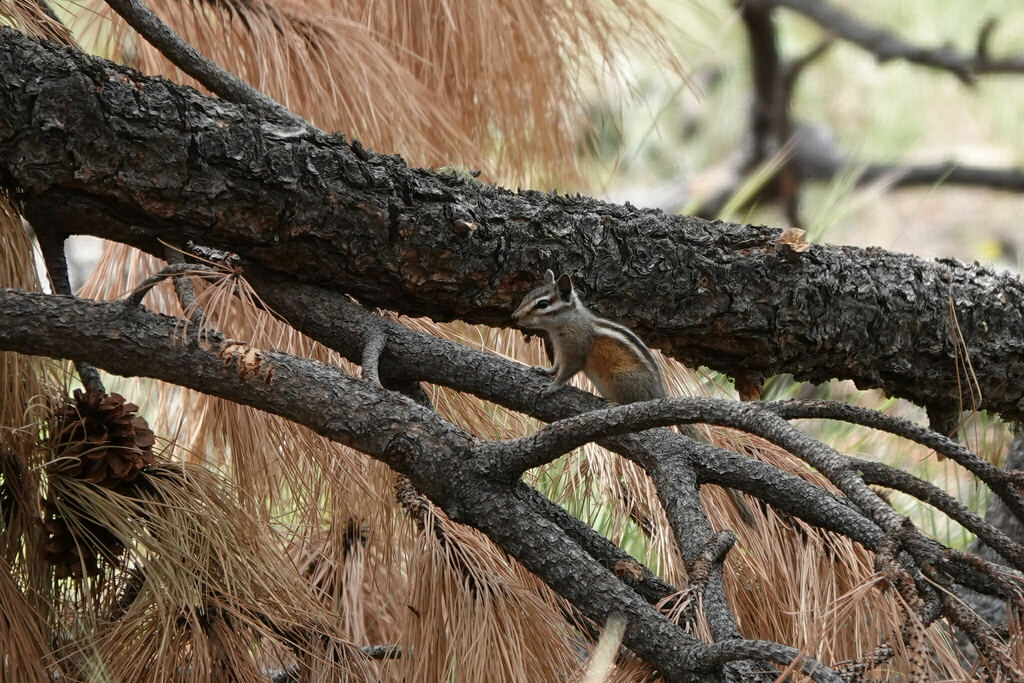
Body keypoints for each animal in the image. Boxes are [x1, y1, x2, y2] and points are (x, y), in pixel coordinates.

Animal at [513, 269, 756, 526]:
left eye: (542, 304)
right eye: (528, 295)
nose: (514, 316)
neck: (568, 321)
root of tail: (660, 393)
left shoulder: (576, 351)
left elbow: (566, 373)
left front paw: (552, 387)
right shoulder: (560, 350)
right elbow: (556, 366)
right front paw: (543, 371)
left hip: (620, 380)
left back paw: (614, 404)